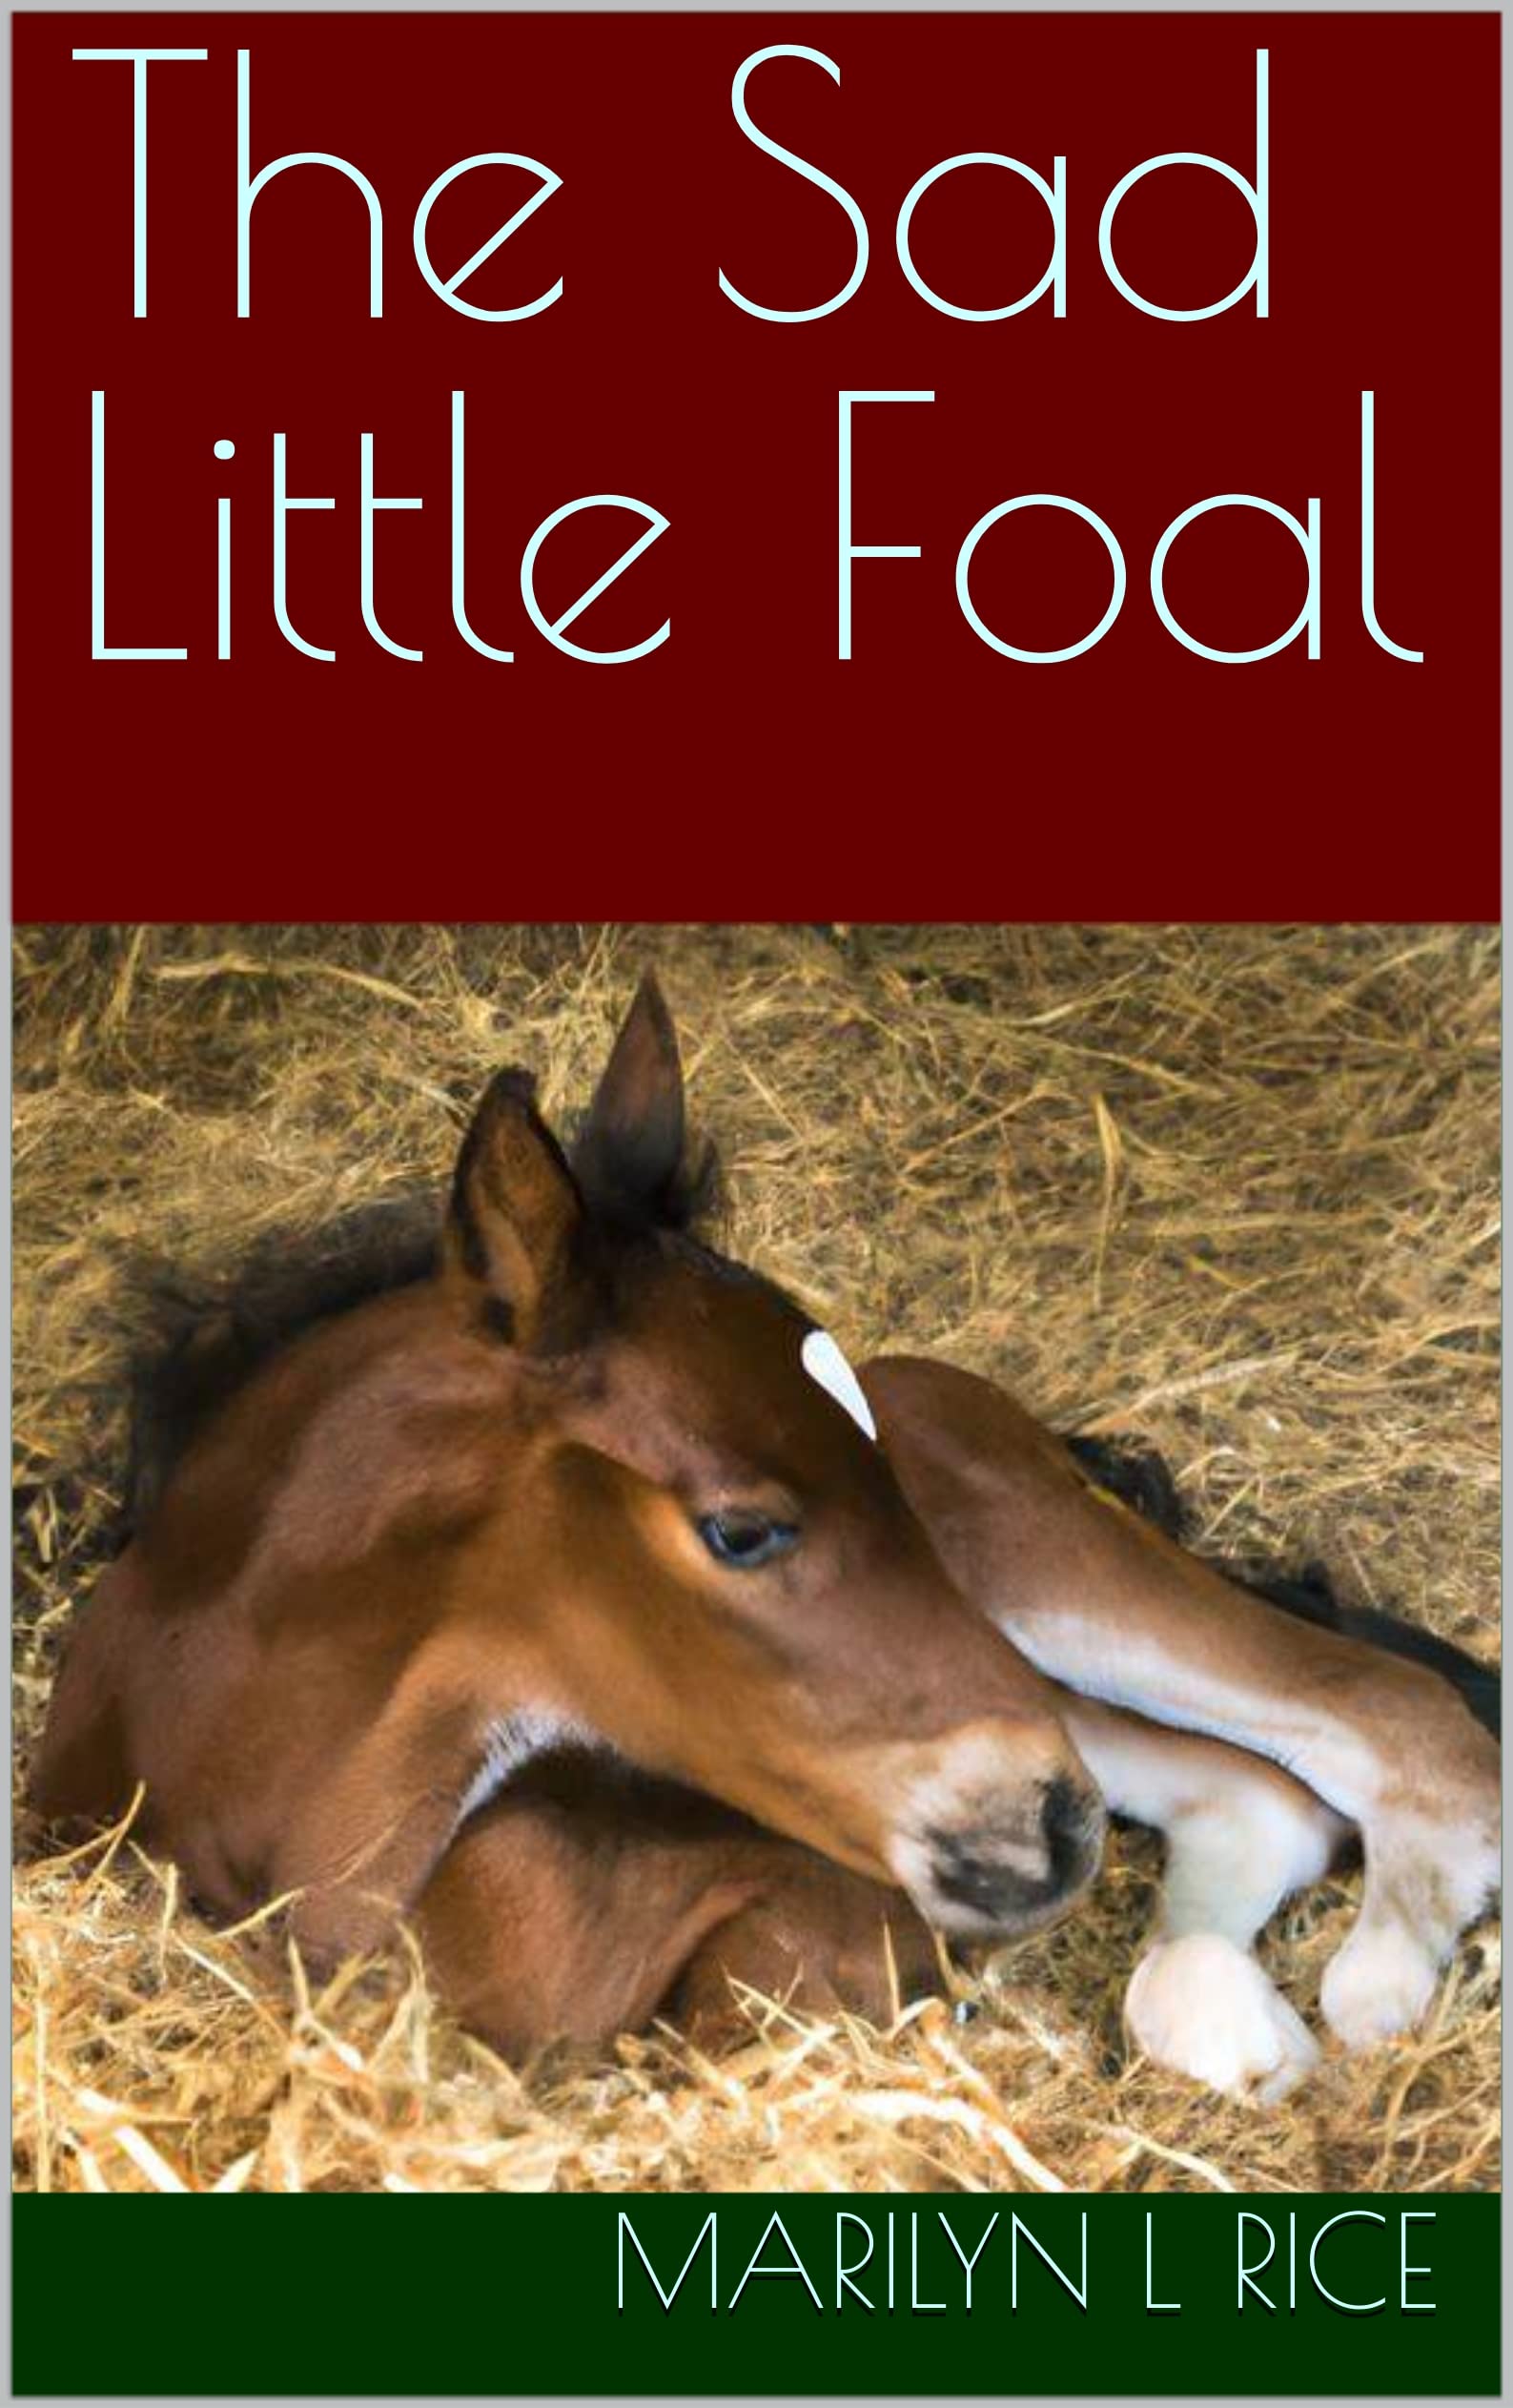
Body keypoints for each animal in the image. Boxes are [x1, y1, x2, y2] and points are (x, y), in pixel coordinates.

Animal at [31, 975, 1500, 2102]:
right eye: (741, 1530)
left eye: (876, 1474)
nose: (1053, 1822)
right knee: (1267, 1798)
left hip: (1045, 1592)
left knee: (1402, 1717)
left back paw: (1363, 1989)